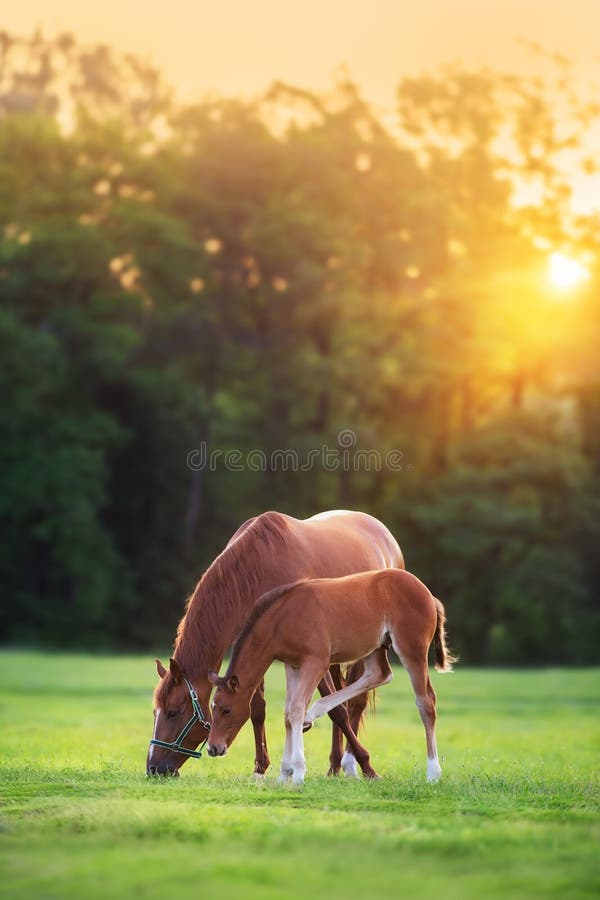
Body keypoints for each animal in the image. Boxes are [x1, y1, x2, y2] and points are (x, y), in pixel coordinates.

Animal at [147, 509, 404, 777]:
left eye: (173, 712)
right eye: (155, 711)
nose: (153, 767)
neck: (260, 566)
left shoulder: (310, 654)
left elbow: (337, 711)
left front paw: (366, 764)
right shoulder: (256, 645)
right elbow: (257, 709)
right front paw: (260, 768)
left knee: (356, 701)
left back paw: (349, 762)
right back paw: (334, 765)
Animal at [207, 568, 455, 785]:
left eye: (226, 710)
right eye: (213, 707)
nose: (212, 748)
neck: (282, 619)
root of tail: (428, 595)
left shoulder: (316, 661)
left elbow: (295, 709)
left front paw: (298, 772)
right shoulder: (292, 665)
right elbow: (288, 712)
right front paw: (285, 772)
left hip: (411, 648)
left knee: (426, 701)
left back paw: (433, 773)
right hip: (375, 647)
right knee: (380, 674)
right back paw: (312, 715)